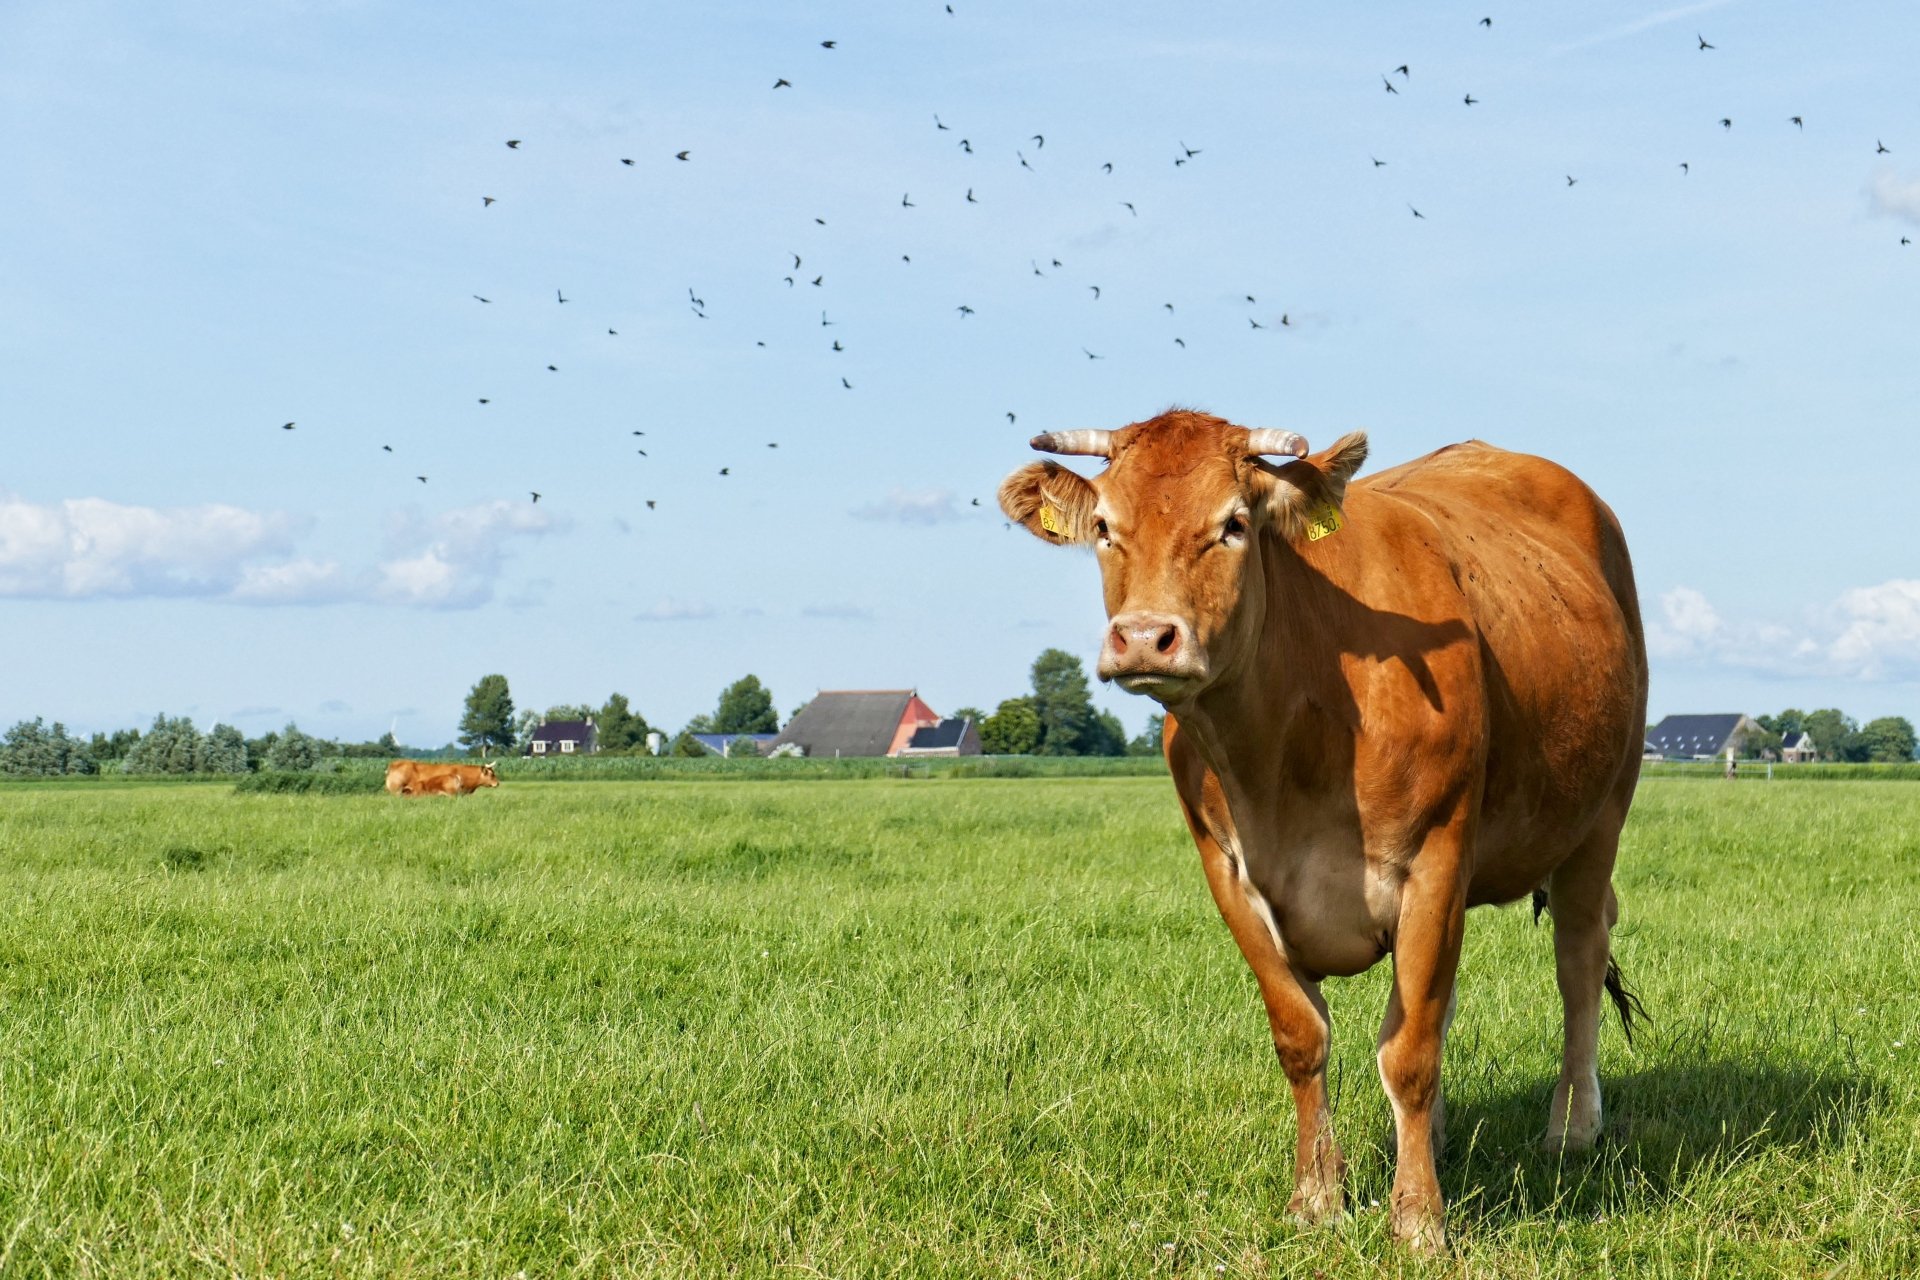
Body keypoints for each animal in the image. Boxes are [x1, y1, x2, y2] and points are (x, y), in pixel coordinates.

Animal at [998, 410, 1648, 1252]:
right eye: (1106, 527)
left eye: (1233, 525)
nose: (1144, 638)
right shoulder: (1230, 874)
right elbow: (1305, 1038)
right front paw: (1317, 1199)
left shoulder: (1435, 858)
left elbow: (1409, 1053)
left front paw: (1419, 1220)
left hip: (1601, 814)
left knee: (1578, 960)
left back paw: (1572, 1126)